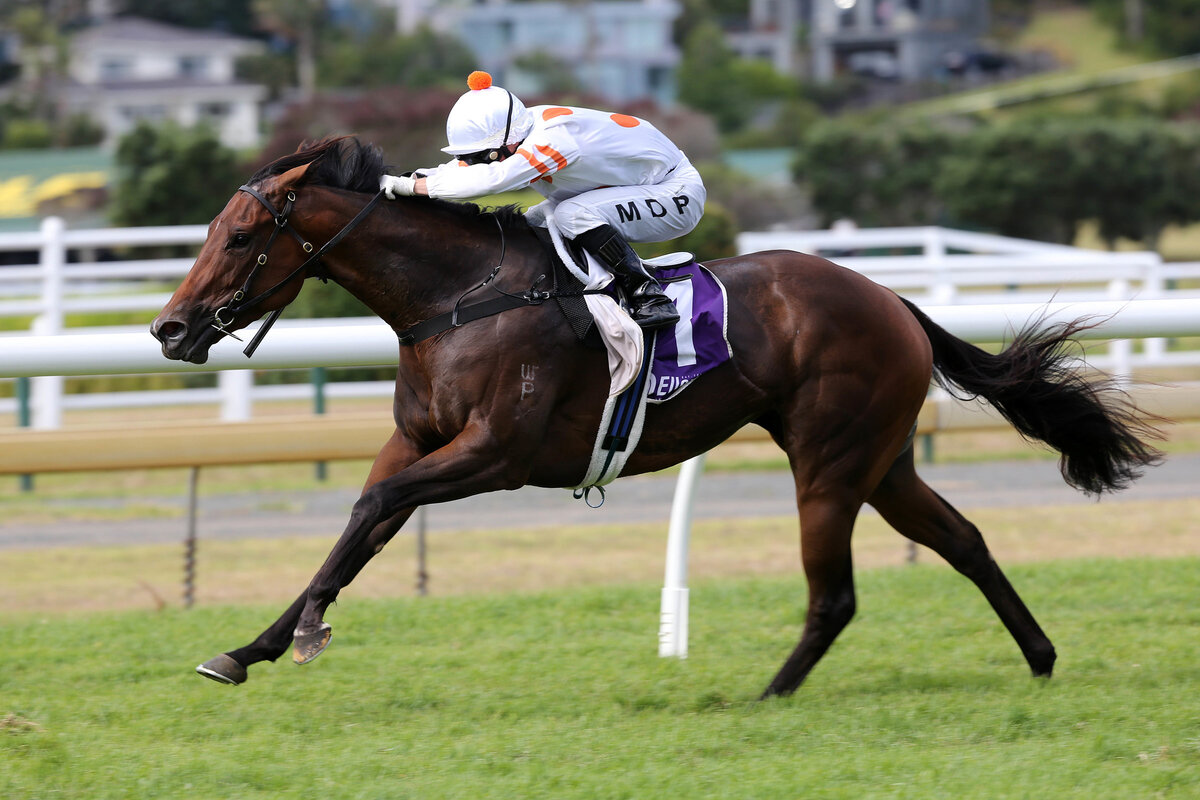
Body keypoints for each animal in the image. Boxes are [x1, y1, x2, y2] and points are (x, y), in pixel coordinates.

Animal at [151, 136, 1161, 697]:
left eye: (239, 236)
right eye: (210, 233)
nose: (168, 328)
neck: (459, 297)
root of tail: (890, 299)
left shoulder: (495, 456)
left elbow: (367, 514)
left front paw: (303, 633)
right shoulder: (420, 442)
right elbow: (361, 530)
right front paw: (250, 648)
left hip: (830, 459)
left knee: (835, 593)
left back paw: (770, 694)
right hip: (880, 459)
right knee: (963, 541)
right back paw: (1040, 658)